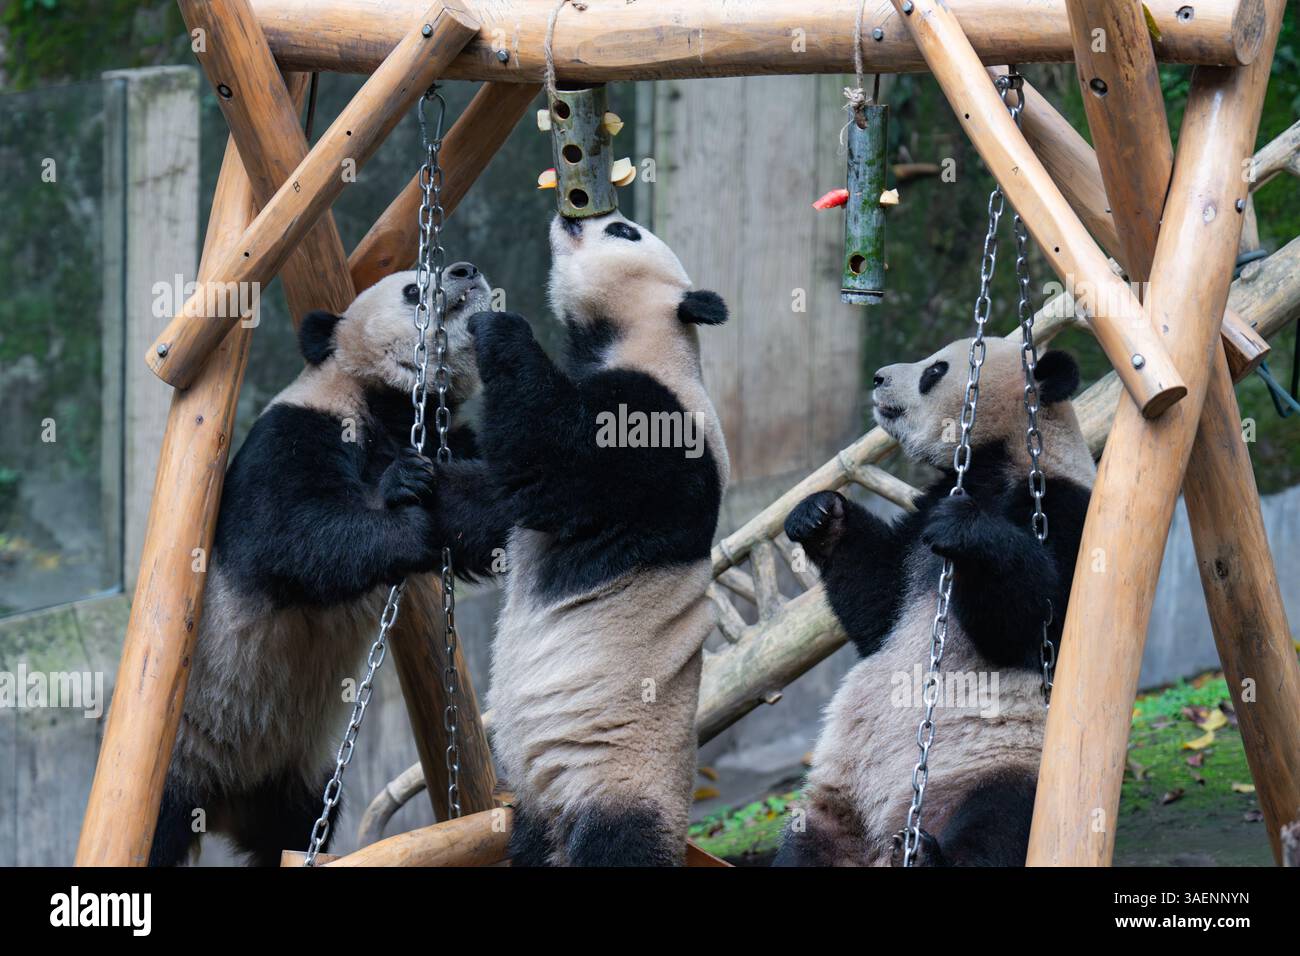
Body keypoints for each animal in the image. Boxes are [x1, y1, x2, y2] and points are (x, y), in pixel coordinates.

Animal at [149, 263, 514, 867]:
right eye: (412, 288)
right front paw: (404, 496)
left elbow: (500, 517)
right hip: (185, 749)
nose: (466, 271)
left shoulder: (453, 443)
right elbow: (286, 532)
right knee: (159, 830)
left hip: (301, 771)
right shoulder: (300, 426)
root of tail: (223, 802)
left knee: (297, 828)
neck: (390, 406)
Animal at [464, 211, 730, 866]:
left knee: (619, 843)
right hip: (535, 806)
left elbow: (555, 463)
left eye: (624, 230)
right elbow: (493, 507)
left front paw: (497, 321)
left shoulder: (663, 427)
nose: (571, 212)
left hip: (619, 778)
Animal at [775, 336, 1095, 867]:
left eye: (936, 370)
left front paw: (967, 533)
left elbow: (1036, 626)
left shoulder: (1062, 506)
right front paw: (819, 514)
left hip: (998, 760)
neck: (998, 458)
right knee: (807, 843)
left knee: (1001, 820)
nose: (879, 377)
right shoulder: (921, 517)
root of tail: (881, 835)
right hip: (839, 794)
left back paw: (928, 853)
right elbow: (878, 605)